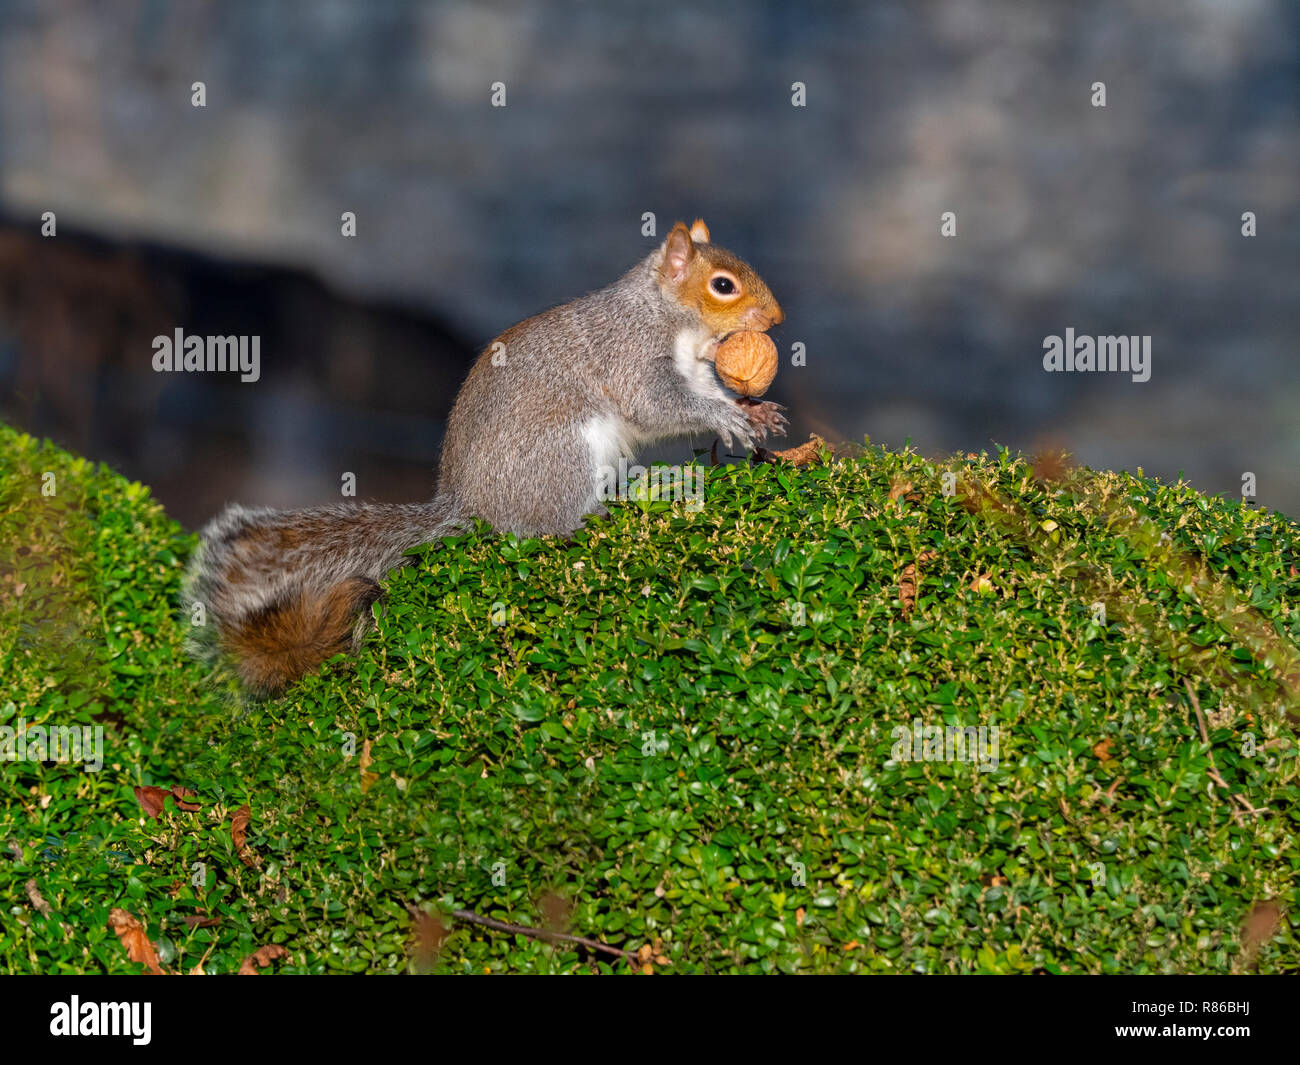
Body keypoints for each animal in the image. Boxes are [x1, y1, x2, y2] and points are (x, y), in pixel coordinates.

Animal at [185, 219, 786, 693]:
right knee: (543, 527)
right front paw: (729, 418)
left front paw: (752, 413)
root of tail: (468, 507)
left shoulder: (694, 371)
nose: (776, 319)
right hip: (561, 452)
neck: (667, 315)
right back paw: (590, 516)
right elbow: (658, 405)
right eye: (723, 286)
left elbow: (703, 395)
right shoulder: (632, 355)